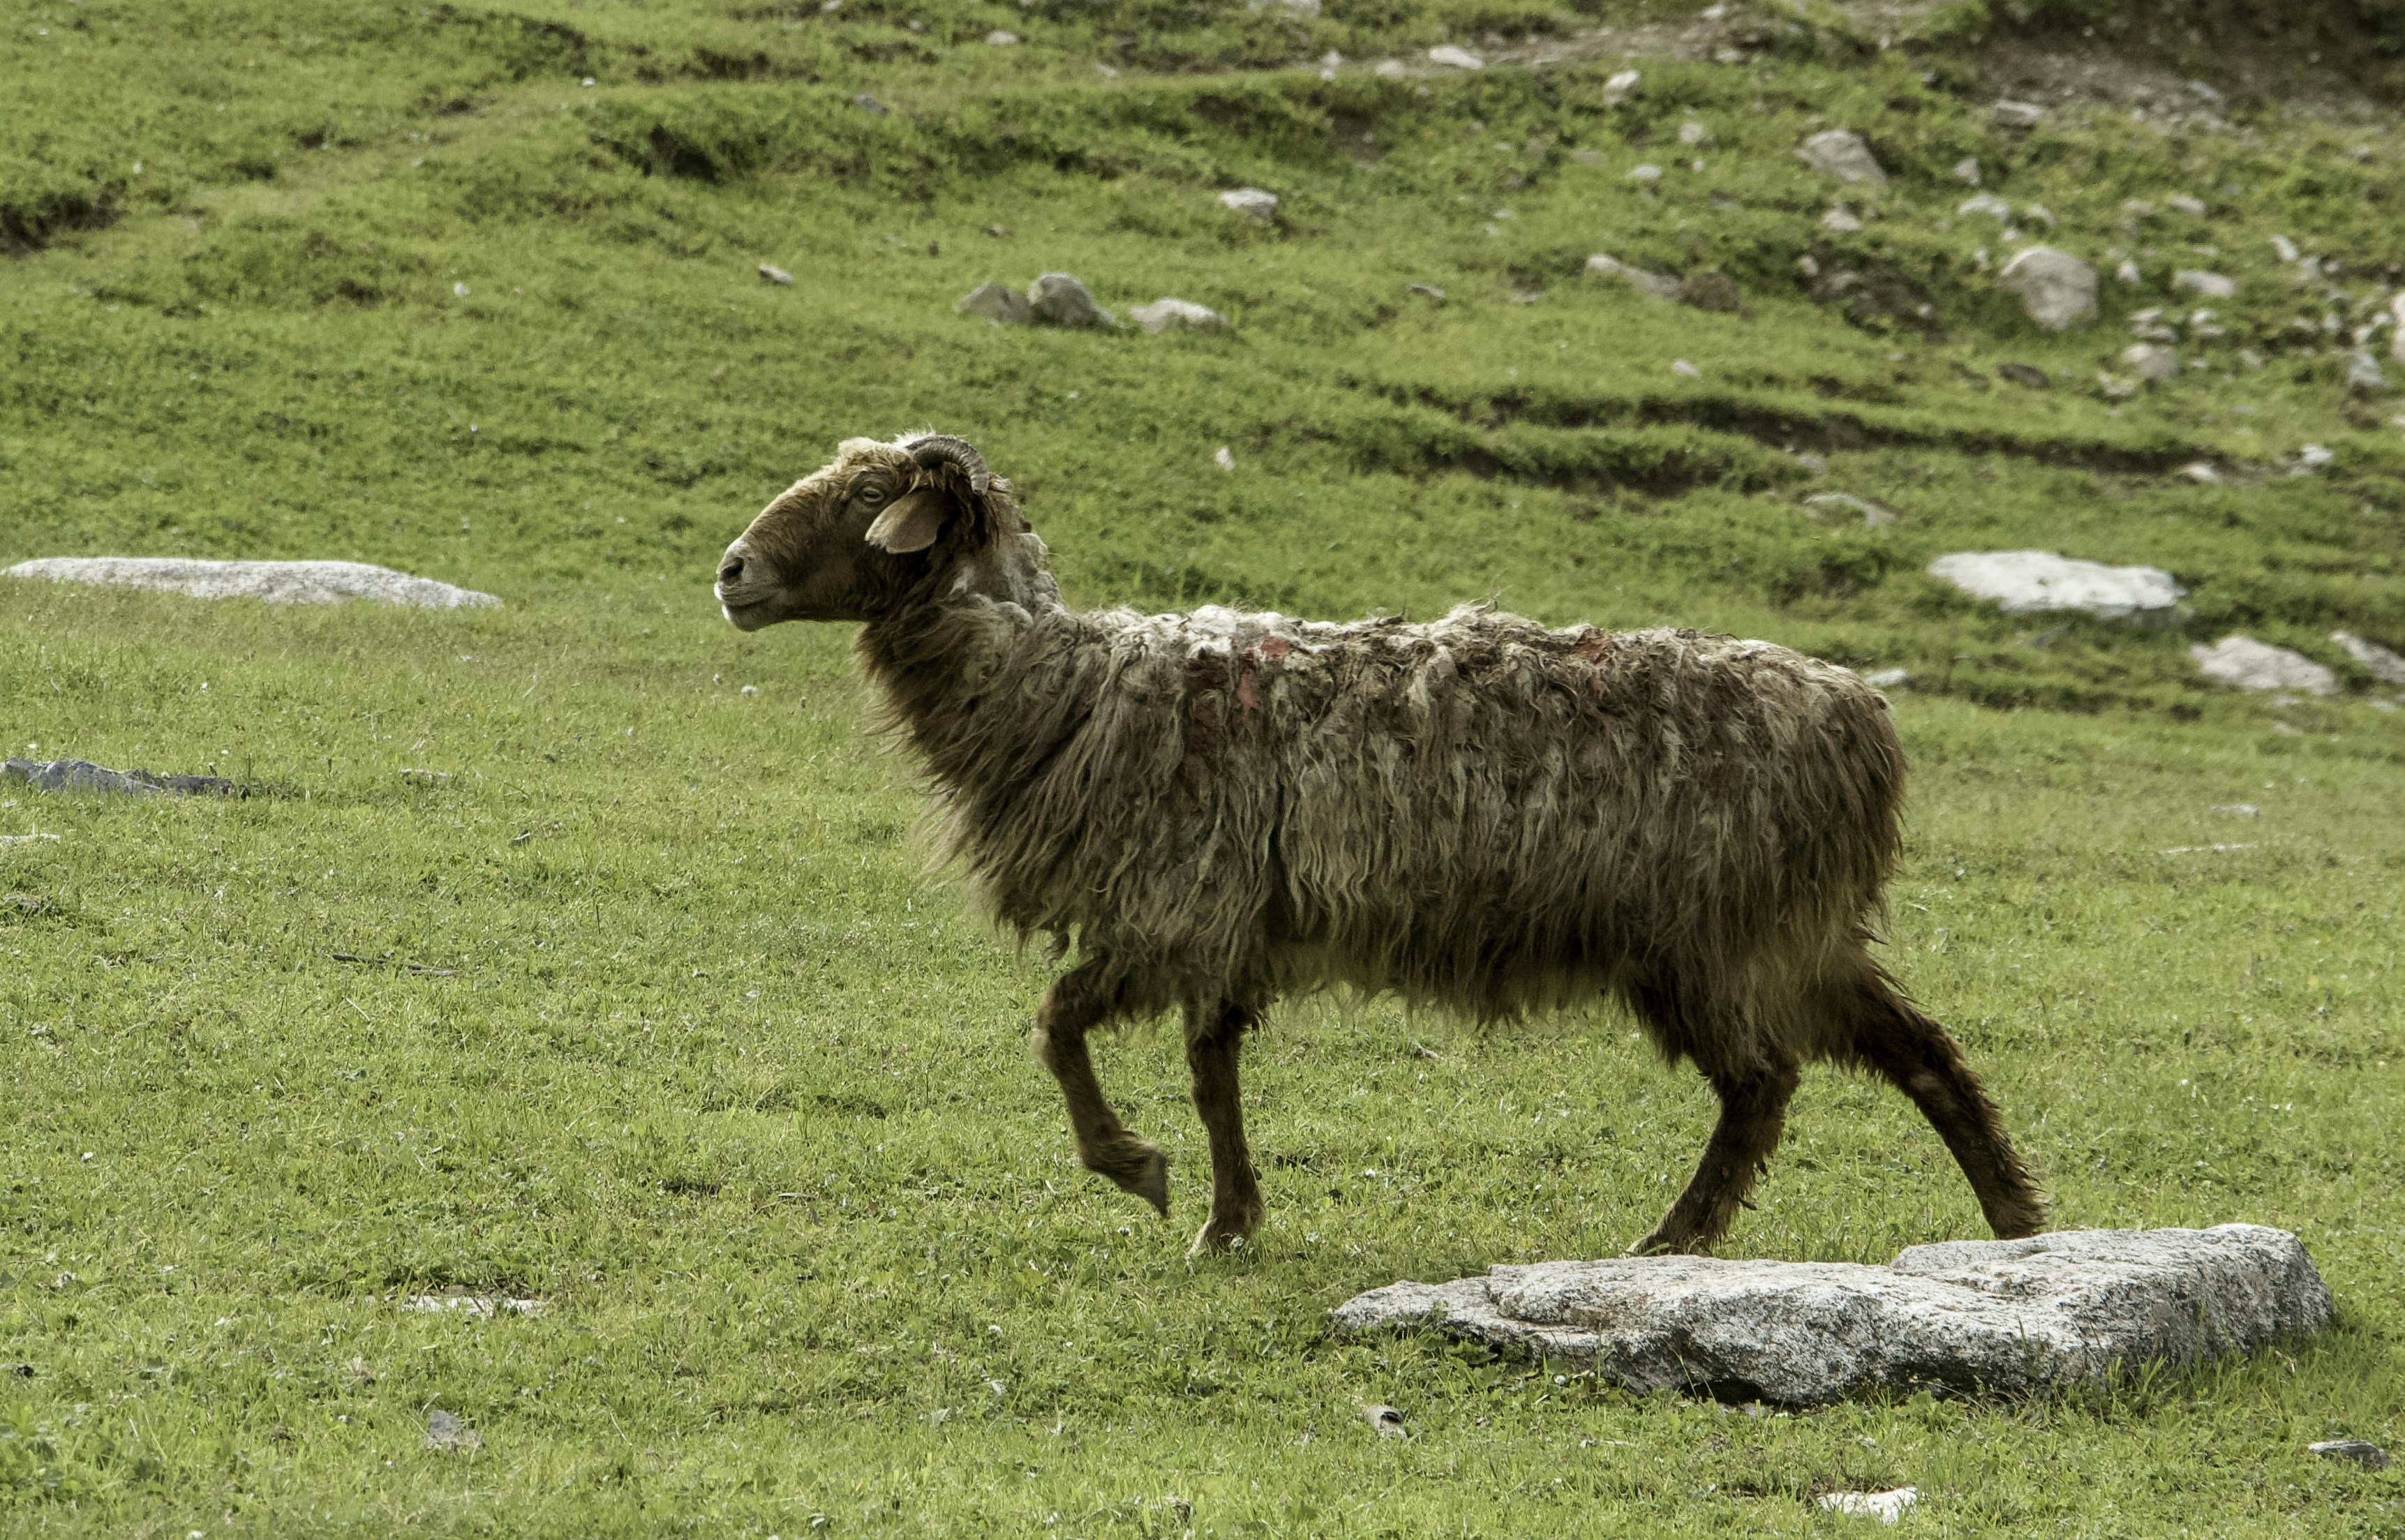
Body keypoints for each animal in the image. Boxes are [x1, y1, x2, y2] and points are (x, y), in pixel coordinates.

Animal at [714, 432, 2046, 1257]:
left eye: (860, 501)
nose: (730, 571)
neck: (1066, 687)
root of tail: (1860, 716)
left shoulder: (1173, 906)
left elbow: (1057, 1026)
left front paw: (1134, 1167)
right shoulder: (1224, 930)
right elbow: (1212, 1073)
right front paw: (1228, 1218)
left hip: (1715, 935)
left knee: (1765, 1084)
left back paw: (1676, 1238)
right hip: (1784, 932)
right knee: (1918, 1052)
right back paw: (2015, 1220)